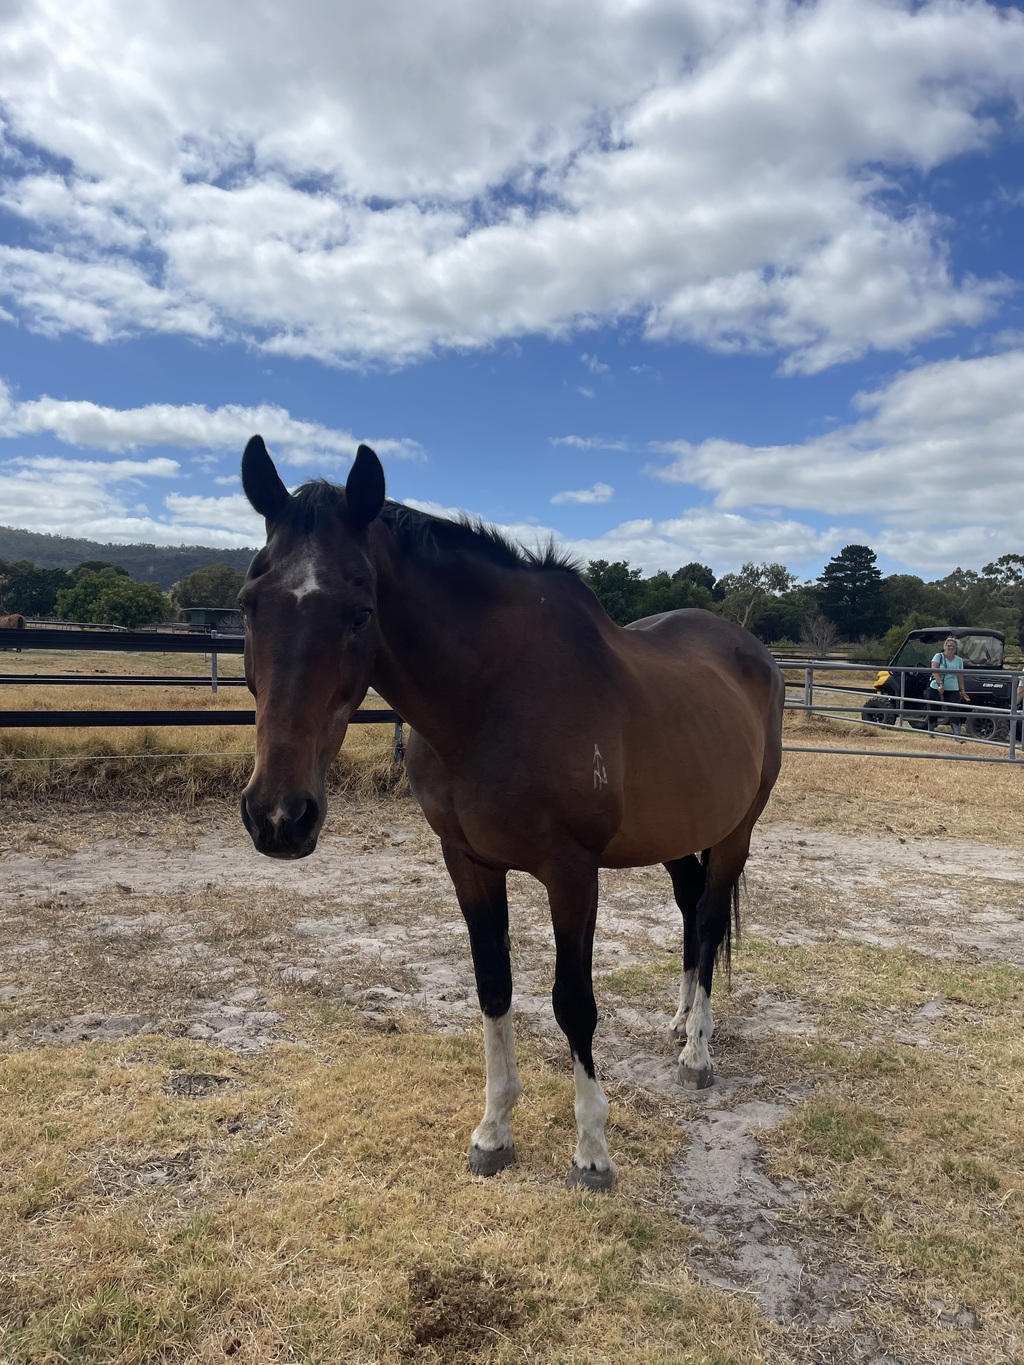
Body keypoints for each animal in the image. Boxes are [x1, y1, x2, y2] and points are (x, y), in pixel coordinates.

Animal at [239, 436, 785, 1191]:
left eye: (360, 611)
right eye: (248, 604)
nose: (279, 816)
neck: (495, 695)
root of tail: (753, 651)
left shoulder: (573, 873)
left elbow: (573, 1002)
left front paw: (592, 1150)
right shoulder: (467, 861)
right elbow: (493, 985)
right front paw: (494, 1132)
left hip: (736, 830)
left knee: (706, 921)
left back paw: (697, 1054)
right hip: (679, 832)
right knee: (689, 913)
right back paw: (680, 1021)